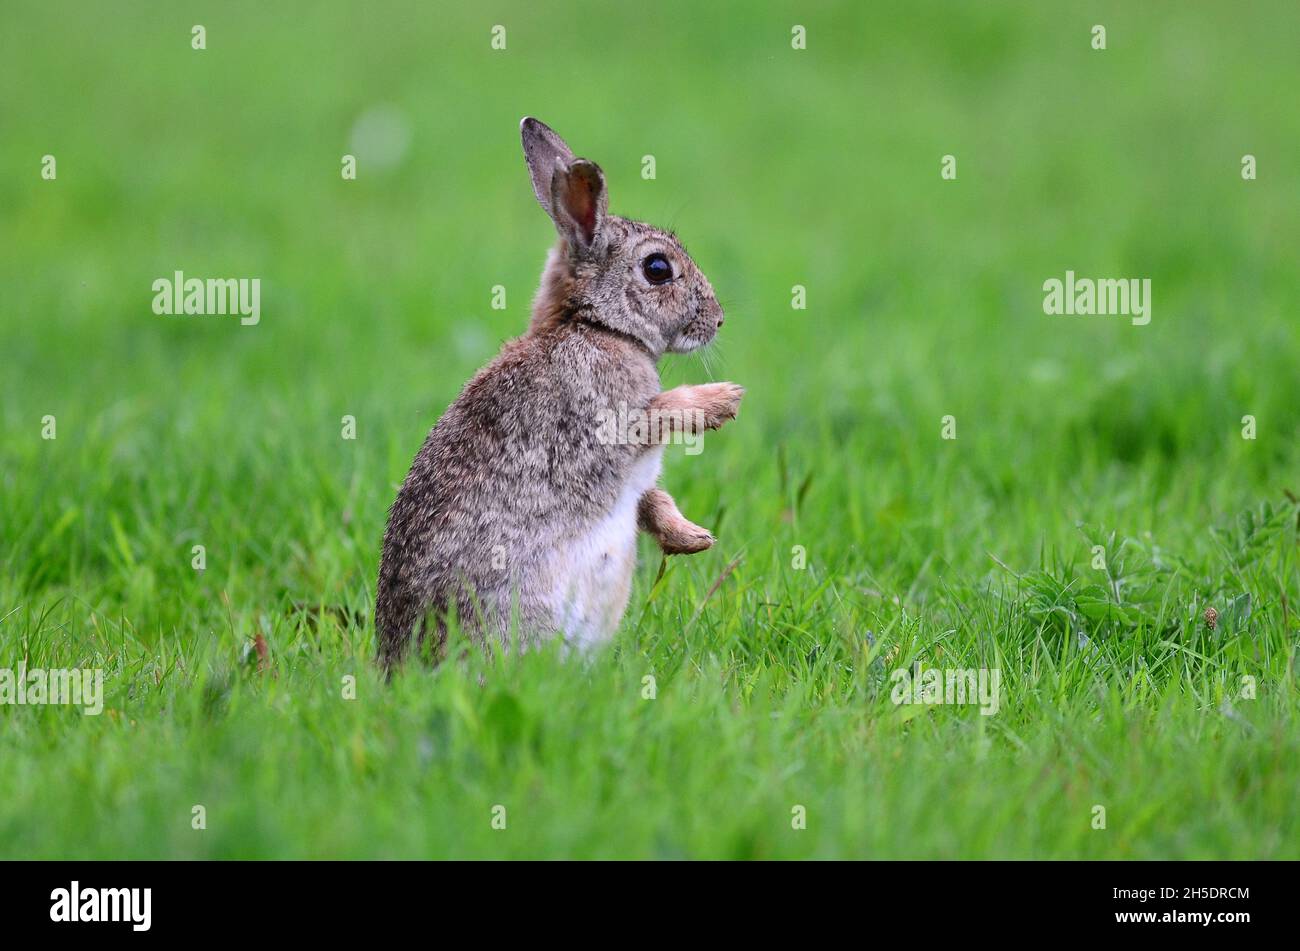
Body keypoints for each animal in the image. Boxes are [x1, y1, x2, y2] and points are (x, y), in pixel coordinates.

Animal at [375, 116, 743, 670]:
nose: (717, 320)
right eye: (658, 269)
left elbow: (652, 499)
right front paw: (722, 399)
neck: (593, 326)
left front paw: (693, 539)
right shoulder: (612, 421)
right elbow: (661, 412)